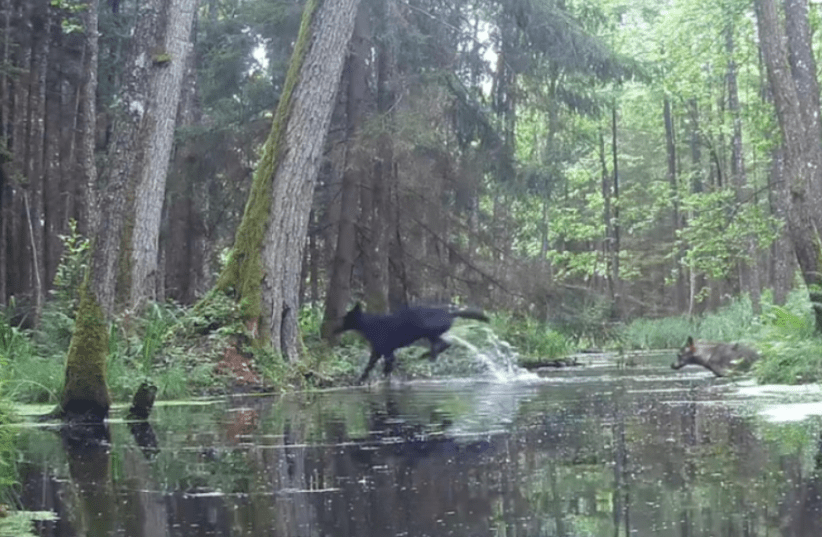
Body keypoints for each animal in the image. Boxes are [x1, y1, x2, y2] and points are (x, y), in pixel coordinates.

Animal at [334, 303, 490, 383]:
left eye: (346, 318)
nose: (335, 328)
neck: (368, 325)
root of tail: (450, 313)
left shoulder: (386, 352)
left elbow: (383, 369)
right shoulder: (378, 352)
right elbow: (369, 367)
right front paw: (362, 380)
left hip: (427, 329)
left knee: (441, 344)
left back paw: (428, 356)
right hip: (431, 333)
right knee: (443, 344)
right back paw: (426, 355)